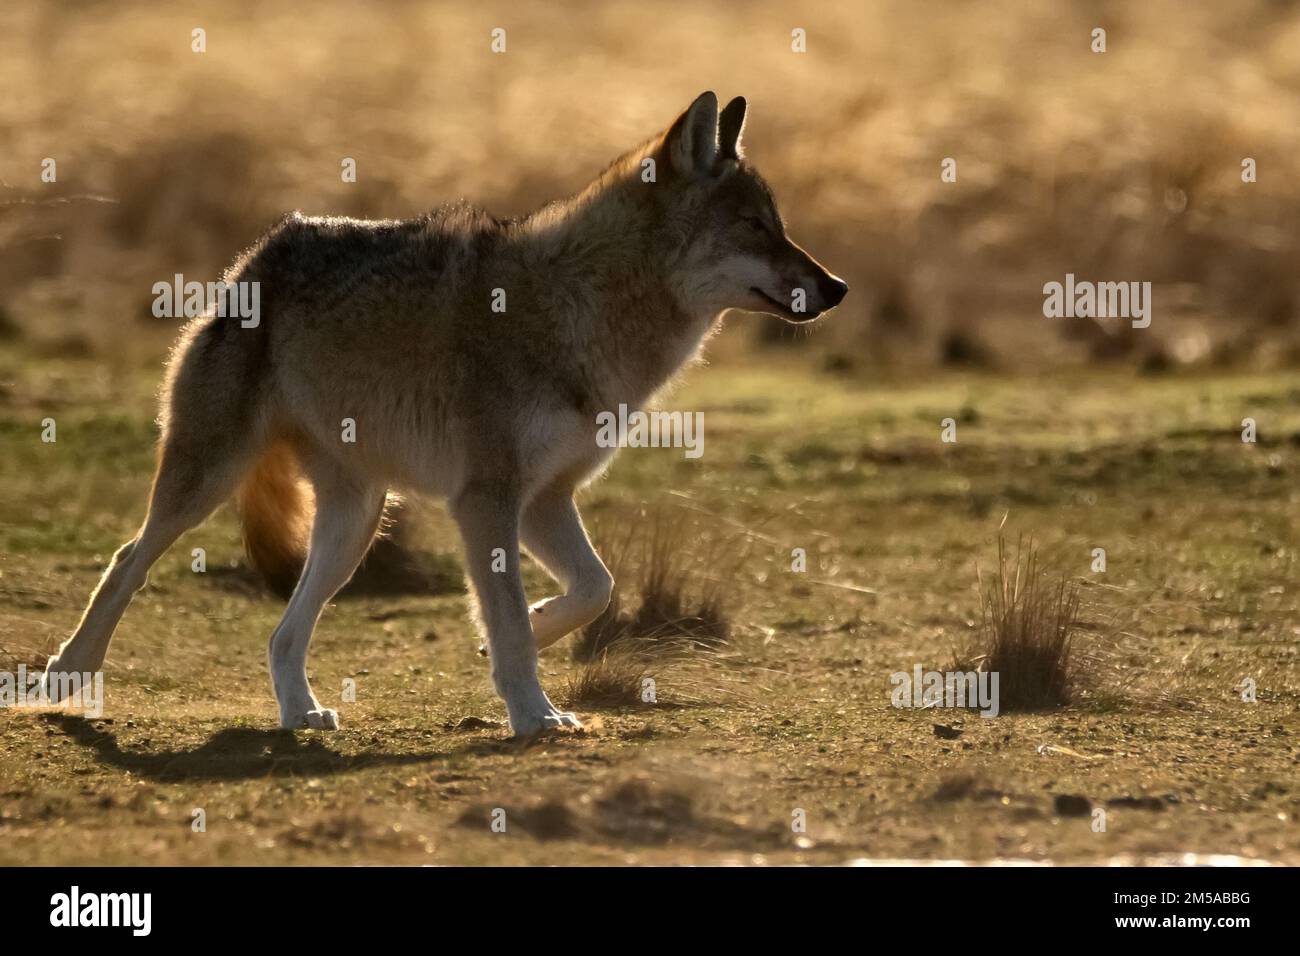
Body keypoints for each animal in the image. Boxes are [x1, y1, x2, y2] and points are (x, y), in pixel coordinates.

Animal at [42, 92, 848, 736]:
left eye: (778, 225)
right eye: (756, 227)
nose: (837, 287)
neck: (583, 310)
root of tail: (256, 257)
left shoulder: (544, 499)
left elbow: (594, 589)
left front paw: (524, 642)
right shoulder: (485, 500)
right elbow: (519, 622)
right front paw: (534, 716)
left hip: (353, 527)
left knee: (280, 634)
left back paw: (302, 714)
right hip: (208, 483)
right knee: (126, 559)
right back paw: (68, 675)